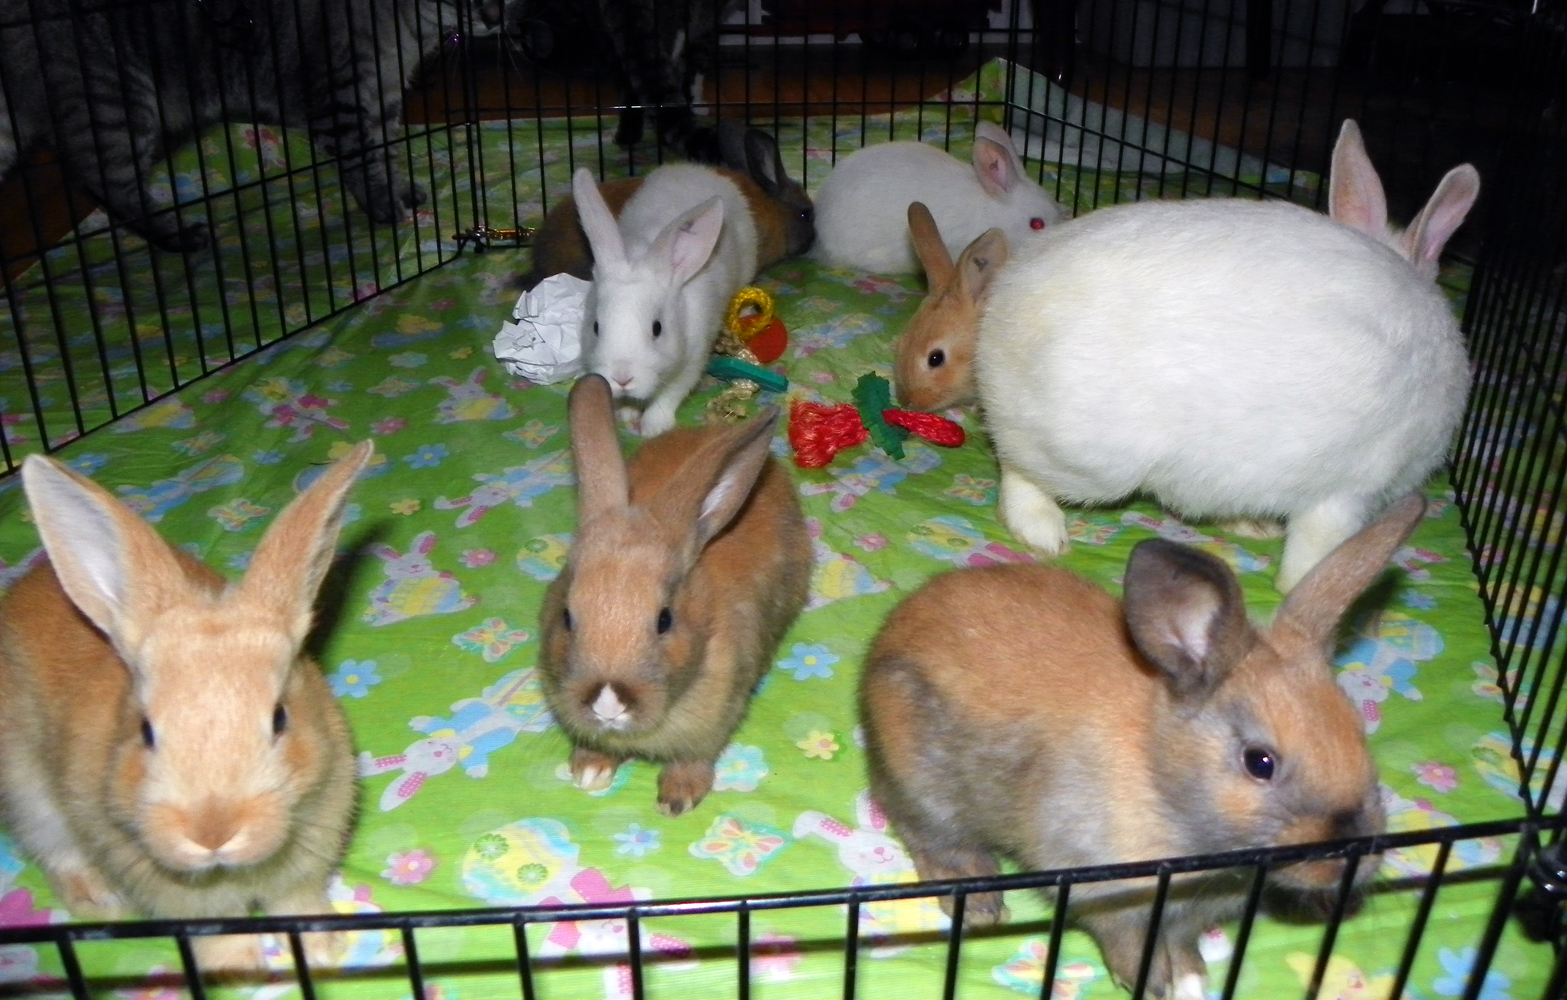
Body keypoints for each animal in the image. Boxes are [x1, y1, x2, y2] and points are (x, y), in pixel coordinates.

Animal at [0, 442, 373, 977]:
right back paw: (97, 896)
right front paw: (239, 973)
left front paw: (325, 954)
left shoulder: (304, 867)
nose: (212, 833)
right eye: (146, 731)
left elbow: (300, 905)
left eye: (280, 718)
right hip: (26, 788)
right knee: (55, 845)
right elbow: (219, 932)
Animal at [538, 374, 812, 816]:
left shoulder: (714, 725)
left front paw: (676, 800)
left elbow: (694, 760)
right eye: (566, 616)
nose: (608, 704)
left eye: (665, 620)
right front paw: (590, 771)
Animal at [572, 163, 760, 437]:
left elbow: (669, 396)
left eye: (657, 329)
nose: (622, 378)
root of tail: (696, 168)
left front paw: (654, 428)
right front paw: (626, 413)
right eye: (595, 327)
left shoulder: (692, 361)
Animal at [859, 494, 1427, 1000]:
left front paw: (1192, 978)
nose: (1352, 861)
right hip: (921, 779)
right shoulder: (1108, 896)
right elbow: (1129, 944)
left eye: (1359, 732)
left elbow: (1180, 944)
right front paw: (1155, 984)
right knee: (929, 837)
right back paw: (979, 903)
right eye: (1259, 762)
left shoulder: (1183, 917)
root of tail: (886, 638)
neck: (1162, 780)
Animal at [975, 118, 1478, 593]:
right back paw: (1043, 532)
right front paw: (1304, 587)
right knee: (1017, 468)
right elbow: (1316, 555)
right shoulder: (1348, 488)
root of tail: (1004, 307)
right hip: (1089, 461)